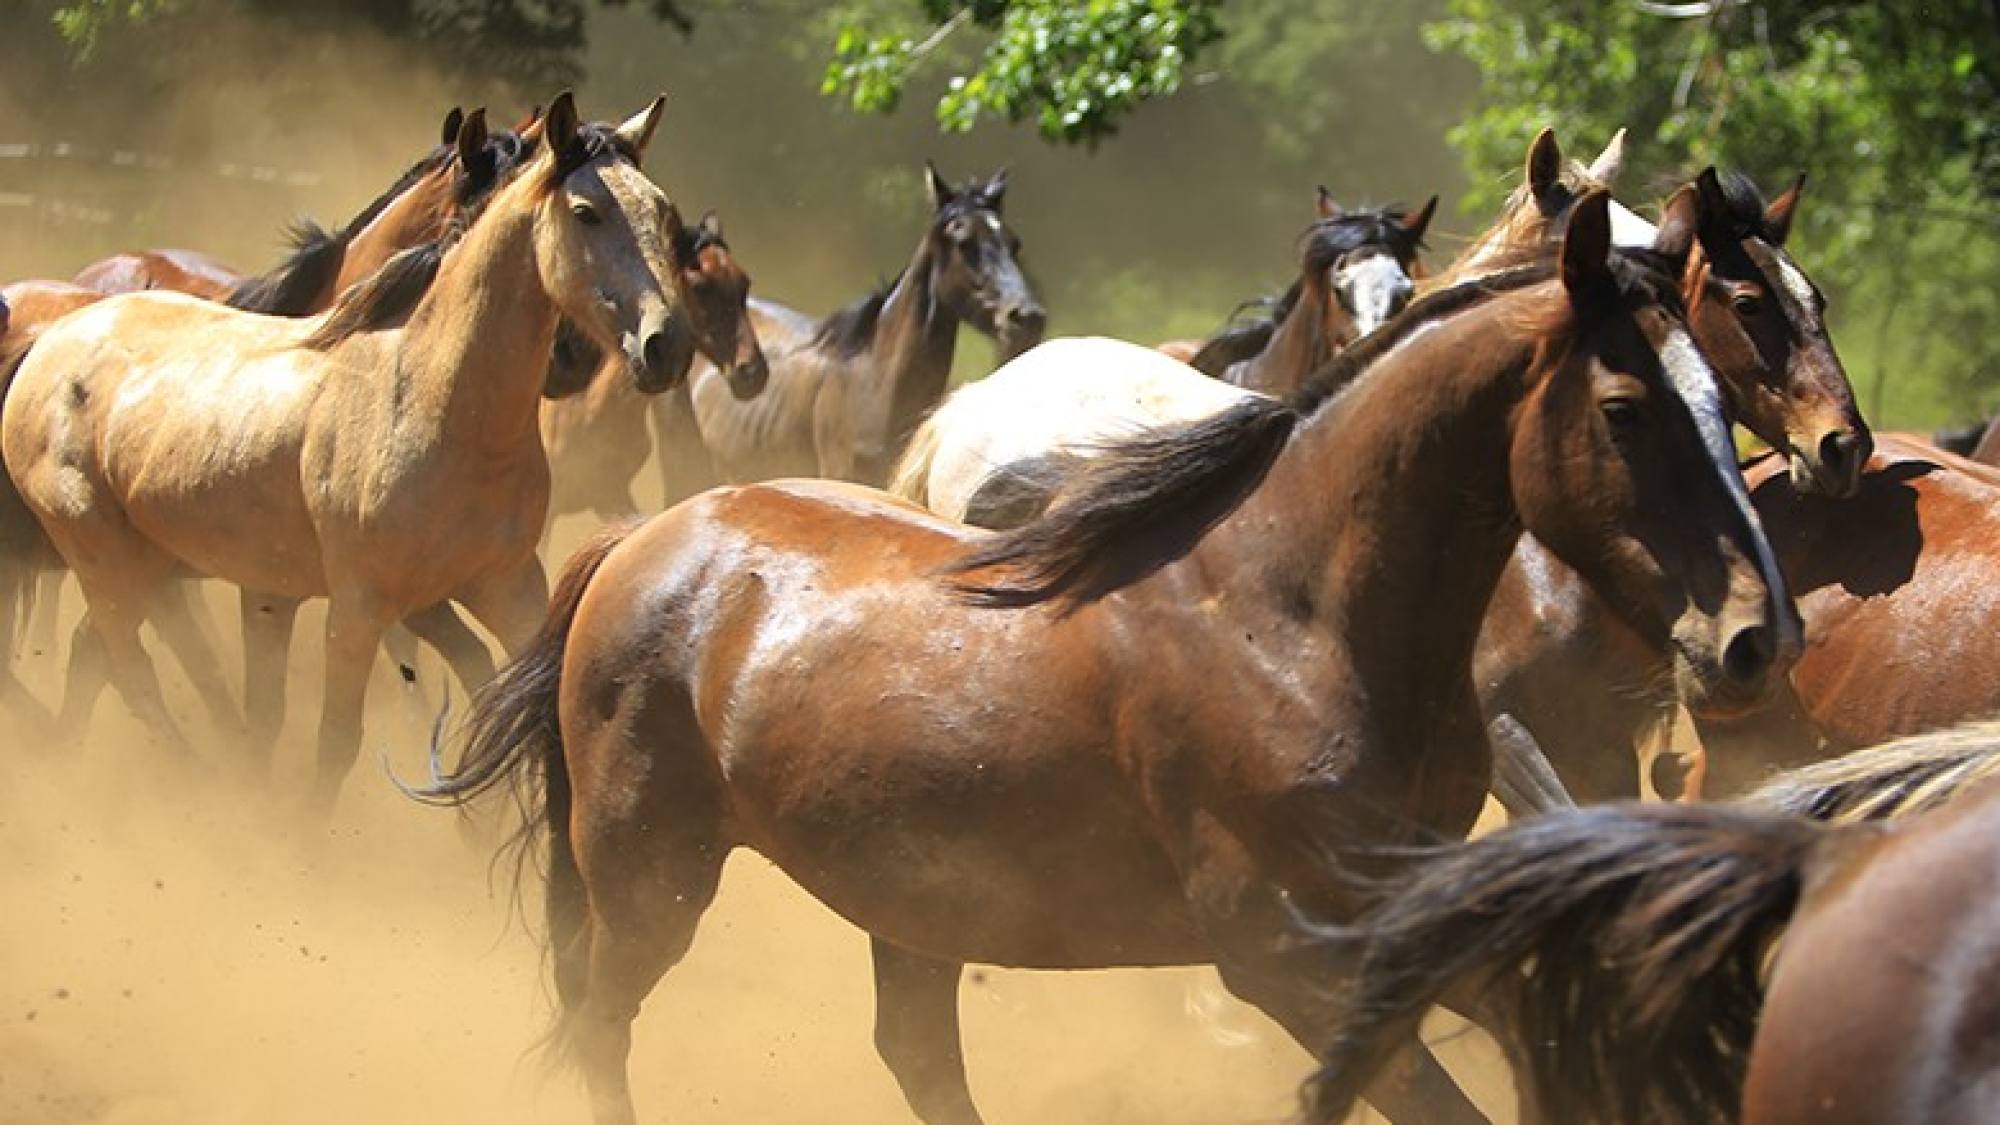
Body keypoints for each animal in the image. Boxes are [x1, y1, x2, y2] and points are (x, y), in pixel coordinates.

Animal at [2, 93, 685, 816]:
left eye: (663, 212)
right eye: (586, 212)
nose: (664, 343)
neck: (436, 403)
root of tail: (52, 340)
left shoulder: (506, 584)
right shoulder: (359, 604)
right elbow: (335, 740)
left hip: (153, 567)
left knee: (108, 659)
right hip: (105, 560)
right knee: (131, 672)